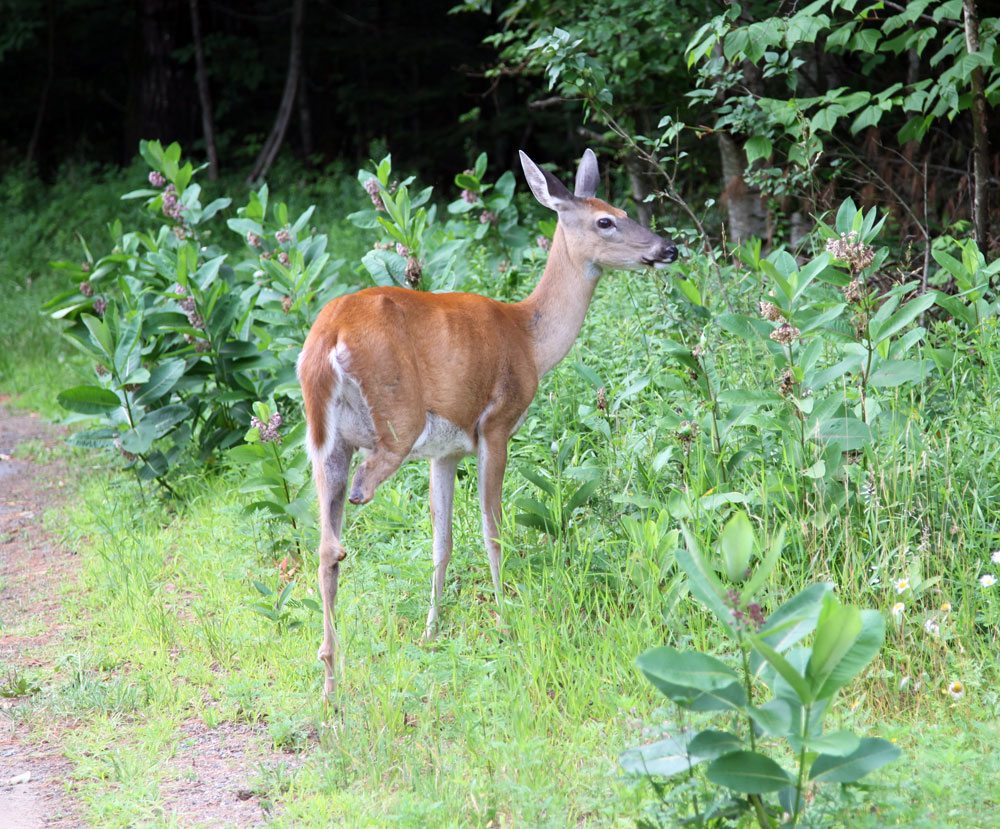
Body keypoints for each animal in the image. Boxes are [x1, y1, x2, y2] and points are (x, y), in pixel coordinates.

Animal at [297, 149, 677, 697]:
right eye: (605, 221)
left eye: (625, 210)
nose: (668, 249)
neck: (530, 339)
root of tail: (327, 340)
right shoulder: (495, 425)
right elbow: (491, 530)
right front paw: (504, 619)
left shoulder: (445, 450)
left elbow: (442, 542)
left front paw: (432, 631)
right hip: (396, 423)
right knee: (356, 502)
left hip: (325, 443)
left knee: (327, 545)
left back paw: (329, 680)